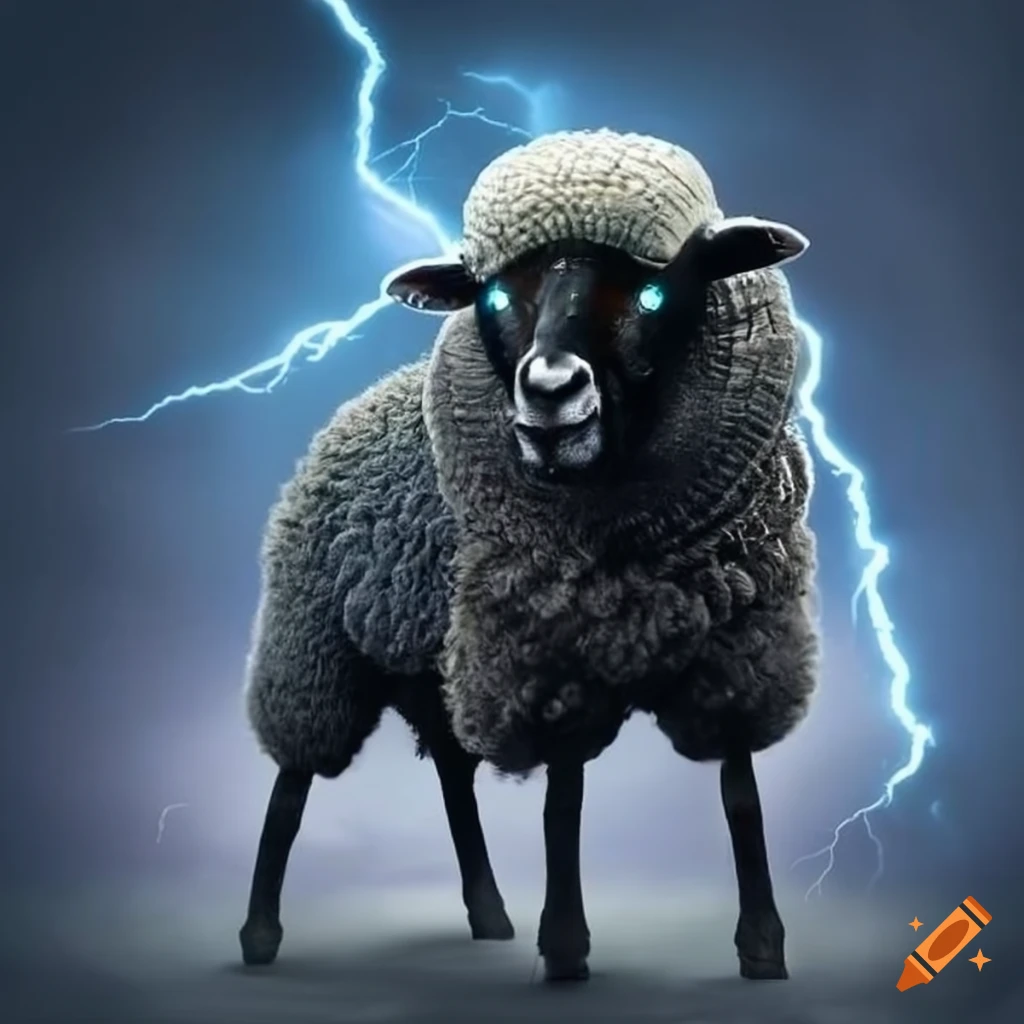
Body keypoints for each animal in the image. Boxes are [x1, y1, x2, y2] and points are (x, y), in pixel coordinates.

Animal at [240, 126, 819, 985]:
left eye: (654, 295)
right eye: (494, 299)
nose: (550, 390)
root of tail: (353, 408)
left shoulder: (738, 648)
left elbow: (740, 793)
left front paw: (764, 949)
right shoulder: (544, 654)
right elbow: (563, 800)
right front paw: (567, 949)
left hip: (435, 661)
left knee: (452, 773)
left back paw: (489, 914)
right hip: (317, 643)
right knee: (292, 779)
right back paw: (259, 934)